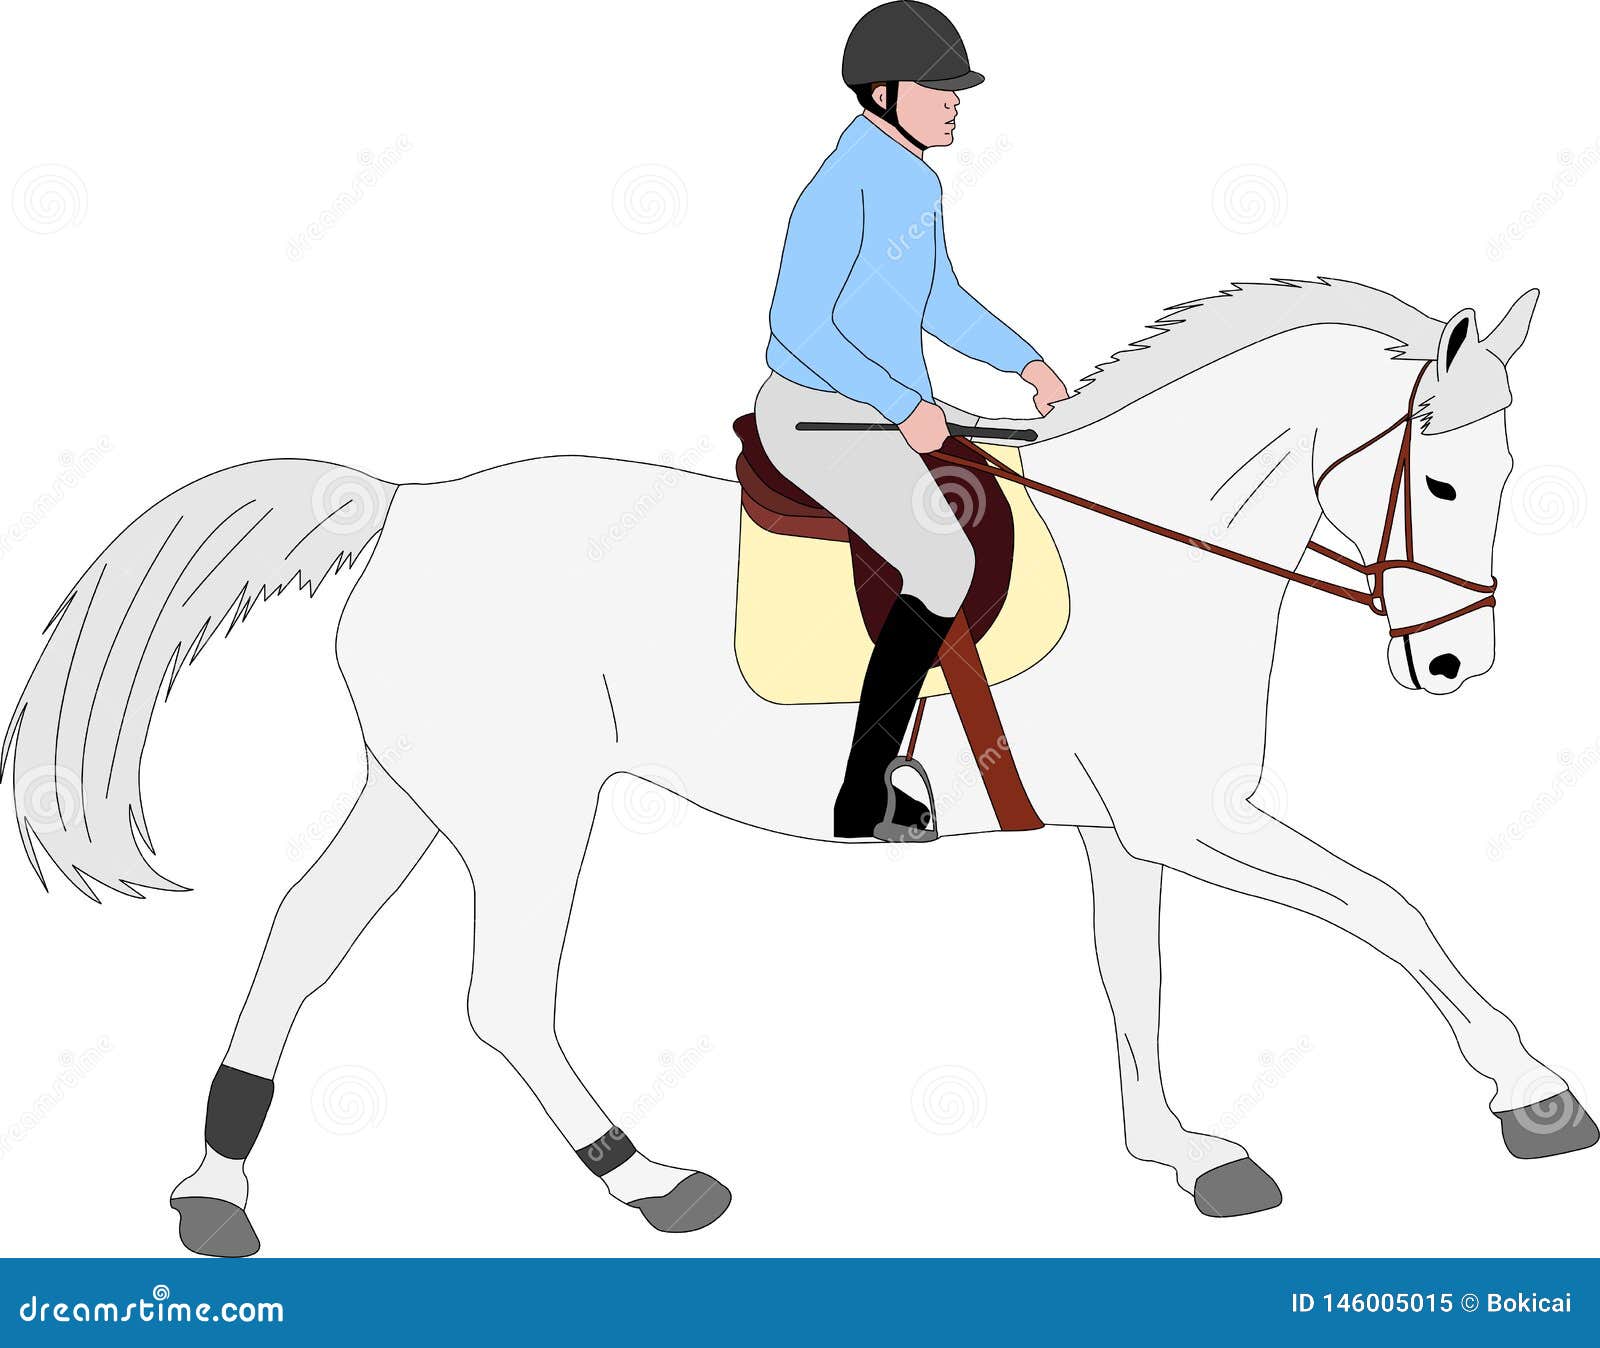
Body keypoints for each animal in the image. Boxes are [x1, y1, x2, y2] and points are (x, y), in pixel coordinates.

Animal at [6, 278, 1592, 1257]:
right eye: (1440, 479)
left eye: (1507, 481)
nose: (1453, 670)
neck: (1162, 546)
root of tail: (402, 506)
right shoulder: (1191, 816)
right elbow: (1388, 907)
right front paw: (1532, 1098)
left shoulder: (1131, 829)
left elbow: (1132, 978)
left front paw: (1187, 1156)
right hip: (527, 809)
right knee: (501, 995)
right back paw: (651, 1180)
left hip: (422, 792)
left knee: (301, 936)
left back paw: (215, 1192)